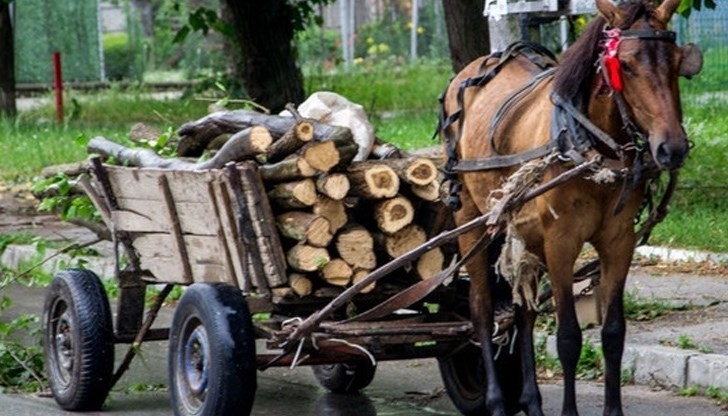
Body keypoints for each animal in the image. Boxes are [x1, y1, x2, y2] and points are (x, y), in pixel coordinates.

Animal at [438, 0, 704, 416]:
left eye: (677, 61)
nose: (671, 148)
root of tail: (472, 69)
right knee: (481, 309)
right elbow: (568, 337)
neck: (589, 143)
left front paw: (613, 410)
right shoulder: (561, 242)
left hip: (525, 233)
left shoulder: (618, 241)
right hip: (471, 221)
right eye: (625, 65)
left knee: (523, 312)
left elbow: (613, 333)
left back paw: (531, 401)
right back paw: (496, 400)